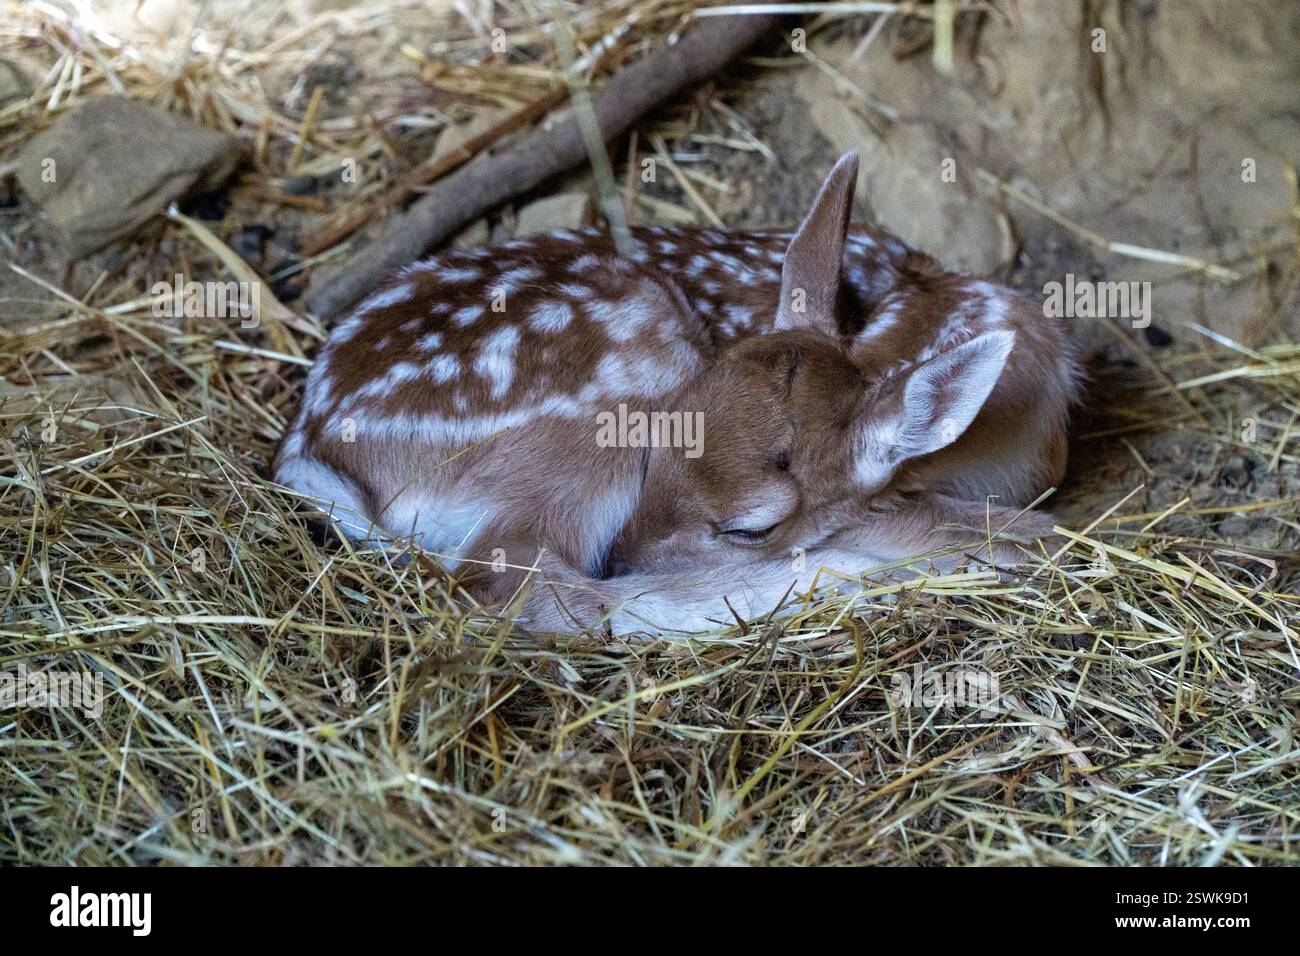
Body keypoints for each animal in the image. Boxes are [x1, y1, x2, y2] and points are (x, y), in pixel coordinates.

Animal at [275, 151, 1081, 635]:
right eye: (656, 452)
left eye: (751, 525)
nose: (625, 554)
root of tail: (313, 441)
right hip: (615, 386)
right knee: (524, 585)